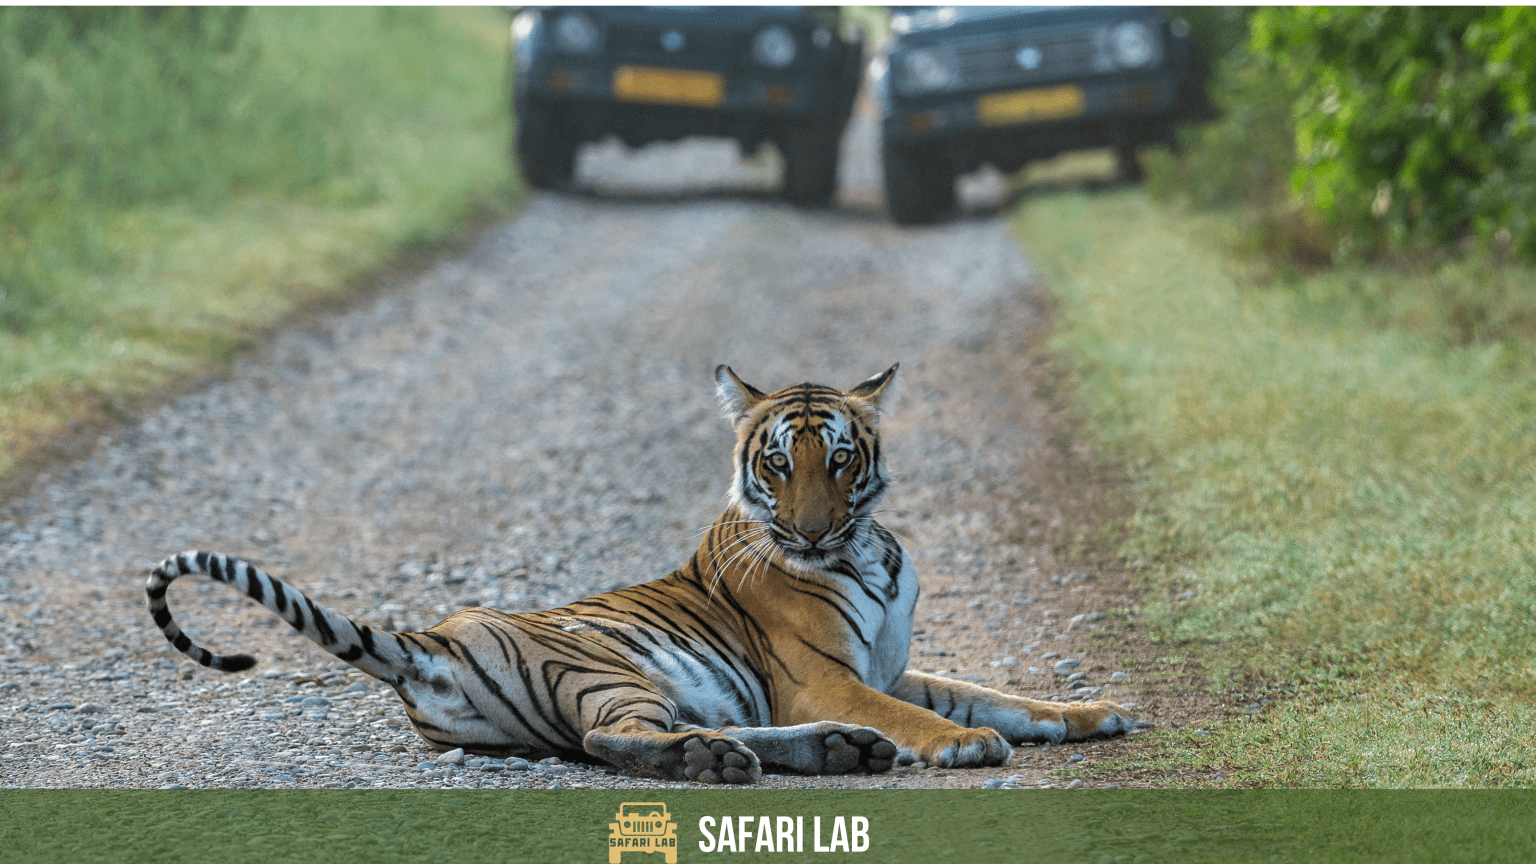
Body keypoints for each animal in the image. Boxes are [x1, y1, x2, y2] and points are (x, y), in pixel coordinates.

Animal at [146, 364, 1138, 784]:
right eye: (777, 464)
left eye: (841, 460)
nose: (811, 529)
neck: (866, 547)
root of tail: (433, 639)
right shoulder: (823, 677)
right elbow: (934, 716)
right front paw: (966, 745)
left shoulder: (891, 667)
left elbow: (997, 693)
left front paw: (1092, 714)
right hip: (611, 670)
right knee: (608, 742)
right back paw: (732, 761)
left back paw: (832, 751)